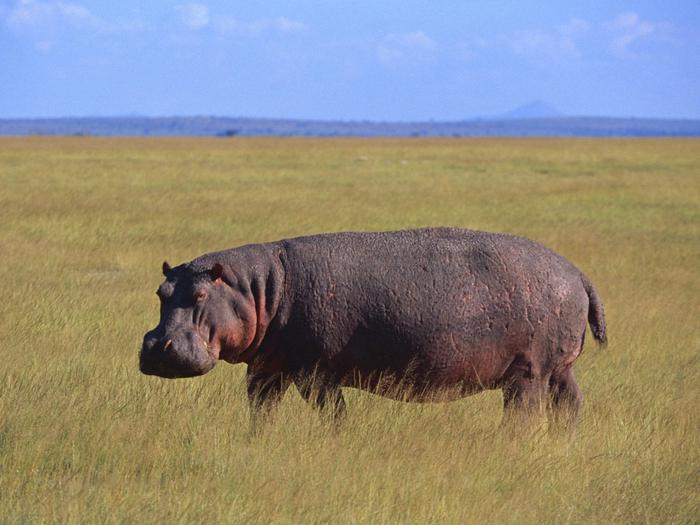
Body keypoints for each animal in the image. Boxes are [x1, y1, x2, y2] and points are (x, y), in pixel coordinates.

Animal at [139, 227, 604, 424]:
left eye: (200, 296)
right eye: (161, 291)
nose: (158, 346)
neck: (261, 287)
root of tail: (578, 273)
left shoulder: (316, 374)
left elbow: (335, 415)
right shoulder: (267, 369)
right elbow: (261, 410)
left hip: (527, 373)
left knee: (523, 416)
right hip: (559, 368)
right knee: (571, 405)